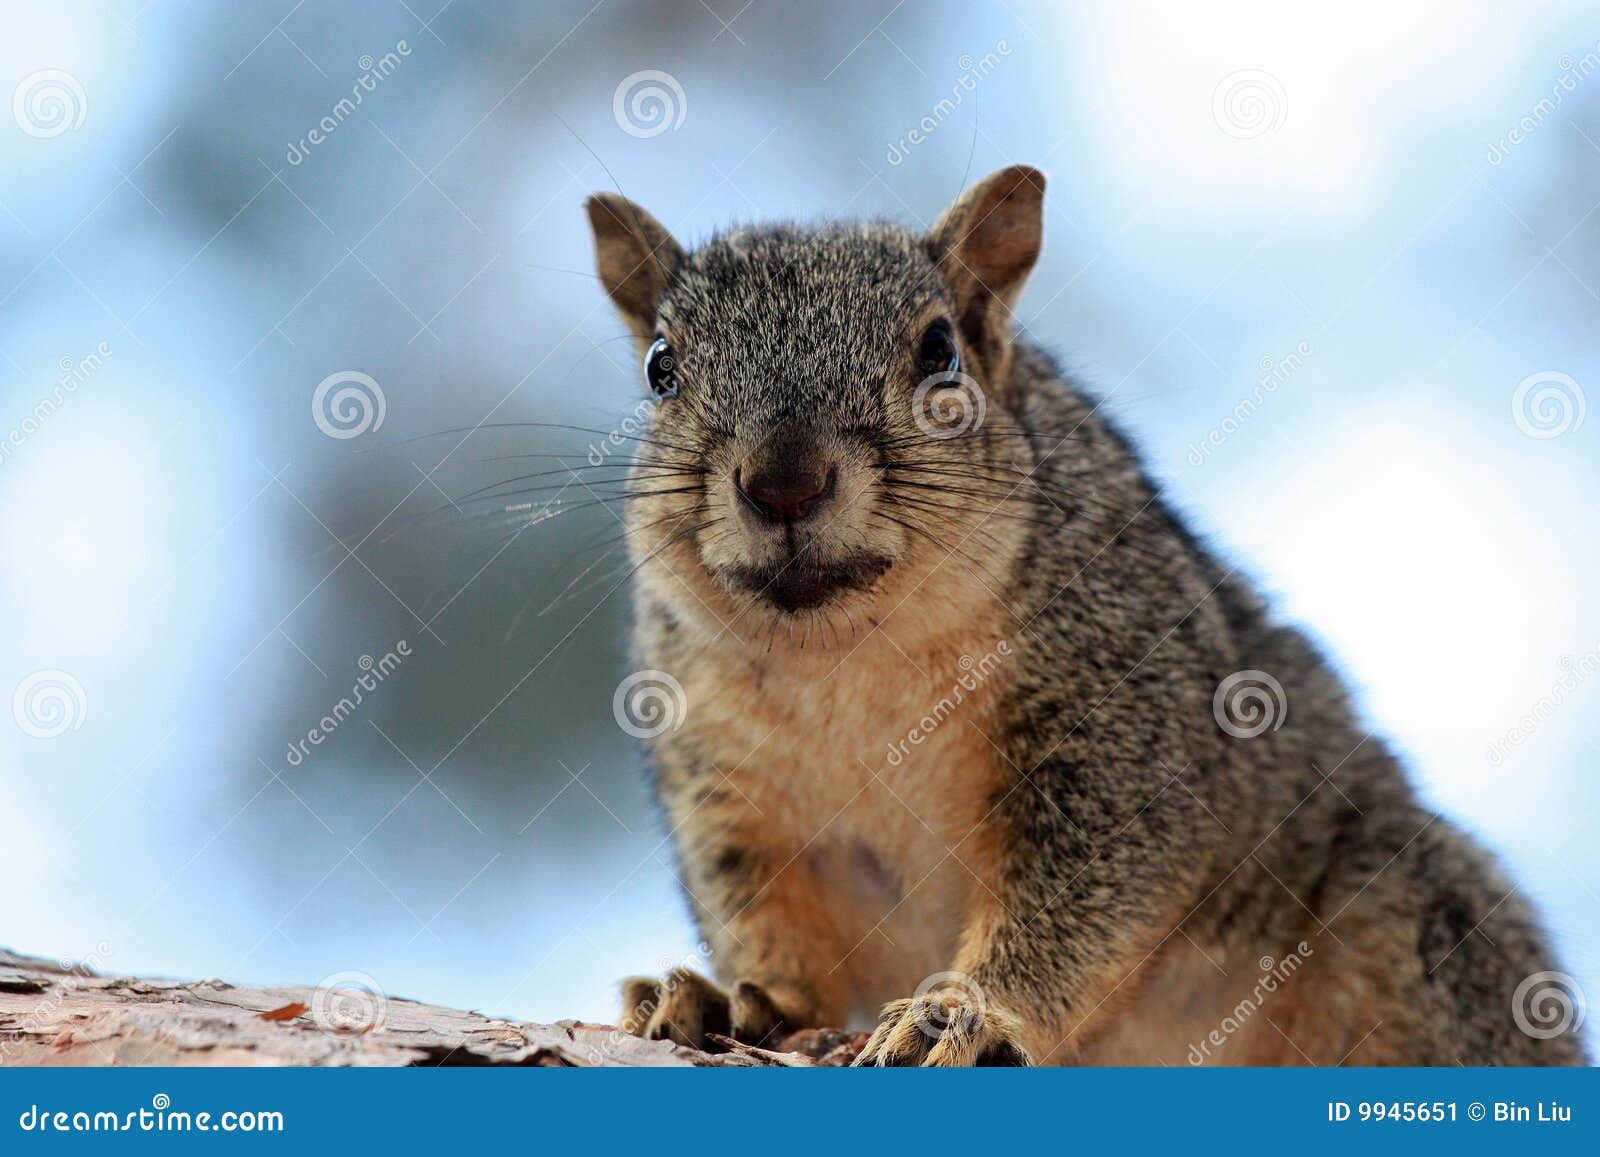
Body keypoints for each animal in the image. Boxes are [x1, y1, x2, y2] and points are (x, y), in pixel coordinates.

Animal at [581, 165, 1587, 1066]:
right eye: (661, 368)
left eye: (939, 351)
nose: (784, 483)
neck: (845, 655)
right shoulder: (726, 784)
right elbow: (773, 923)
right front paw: (732, 999)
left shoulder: (1120, 705)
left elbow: (1085, 889)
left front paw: (965, 1013)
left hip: (1409, 922)